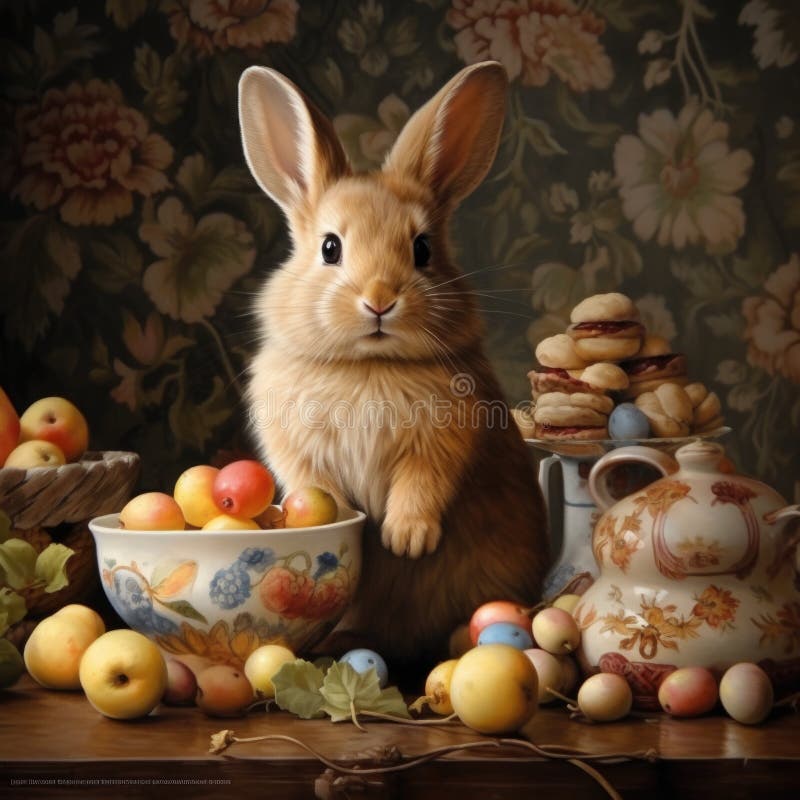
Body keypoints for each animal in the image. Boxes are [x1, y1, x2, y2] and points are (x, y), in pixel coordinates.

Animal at [238, 60, 549, 668]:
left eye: (422, 249)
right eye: (330, 247)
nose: (379, 299)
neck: (368, 365)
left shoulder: (444, 439)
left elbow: (421, 485)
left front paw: (406, 541)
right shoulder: (294, 446)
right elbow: (314, 484)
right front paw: (335, 517)